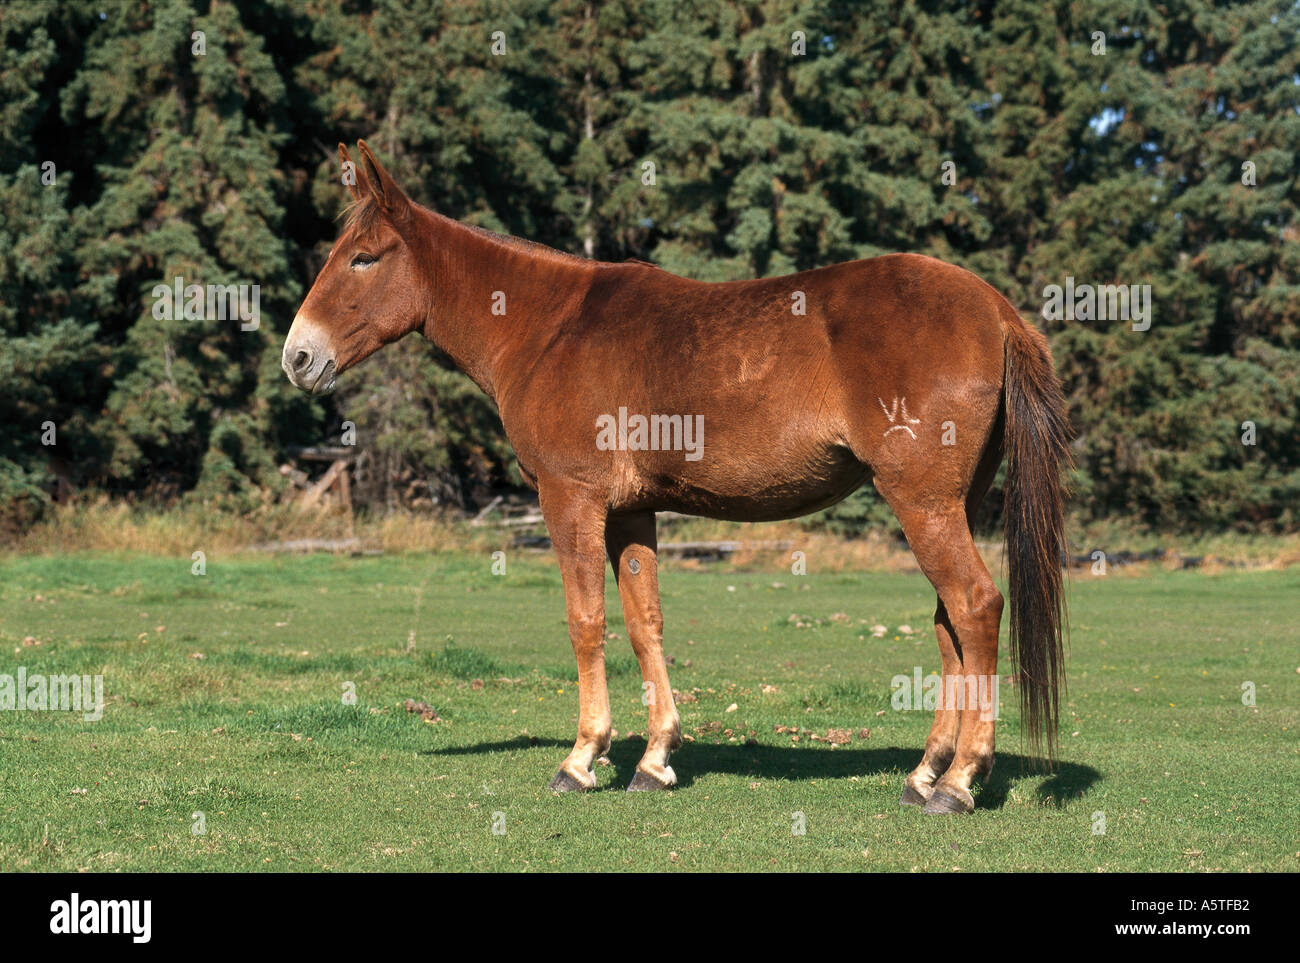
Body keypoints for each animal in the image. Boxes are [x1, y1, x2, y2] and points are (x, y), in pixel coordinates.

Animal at [282, 141, 1070, 814]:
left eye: (363, 258)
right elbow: (644, 623)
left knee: (974, 606)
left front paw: (582, 758)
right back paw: (926, 771)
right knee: (949, 623)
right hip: (949, 502)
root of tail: (995, 309)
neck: (548, 328)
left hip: (922, 501)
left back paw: (960, 781)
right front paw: (655, 760)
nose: (297, 356)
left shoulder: (571, 499)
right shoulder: (632, 513)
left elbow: (586, 621)